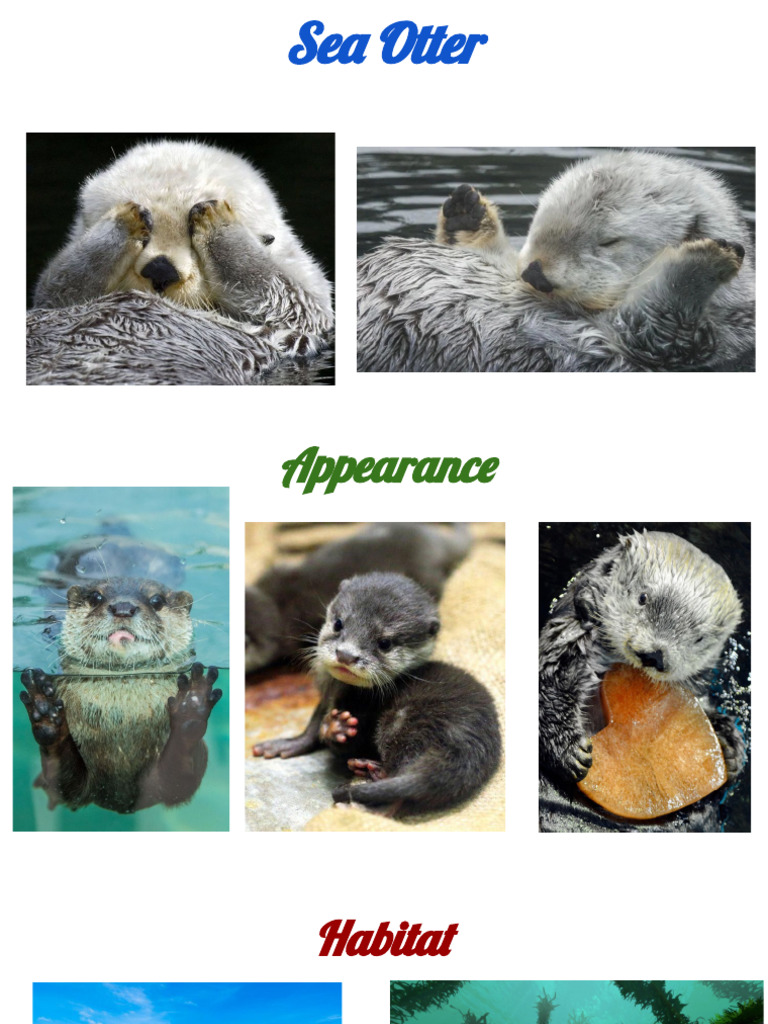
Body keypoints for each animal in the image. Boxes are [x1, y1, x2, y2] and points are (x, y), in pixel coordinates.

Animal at [20, 575, 221, 813]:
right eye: (96, 597)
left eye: (156, 600)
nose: (123, 608)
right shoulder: (74, 789)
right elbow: (61, 784)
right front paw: (46, 713)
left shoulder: (166, 784)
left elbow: (179, 777)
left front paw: (191, 707)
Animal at [33, 140, 333, 345]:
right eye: (146, 237)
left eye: (193, 243)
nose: (160, 270)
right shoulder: (53, 299)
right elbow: (58, 284)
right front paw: (126, 218)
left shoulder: (306, 307)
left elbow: (295, 301)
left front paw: (215, 220)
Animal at [252, 572, 501, 813]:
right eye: (338, 623)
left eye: (385, 643)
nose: (346, 655)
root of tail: (466, 748)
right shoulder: (325, 699)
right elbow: (312, 729)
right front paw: (287, 744)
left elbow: (346, 742)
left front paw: (337, 728)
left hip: (401, 724)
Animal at [358, 152, 754, 372]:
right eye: (539, 219)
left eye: (609, 242)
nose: (536, 273)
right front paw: (467, 215)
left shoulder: (679, 345)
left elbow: (660, 319)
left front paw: (709, 257)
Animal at [539, 530, 746, 831]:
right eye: (643, 598)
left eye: (700, 638)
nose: (654, 655)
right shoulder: (569, 642)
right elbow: (550, 687)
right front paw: (572, 754)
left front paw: (729, 748)